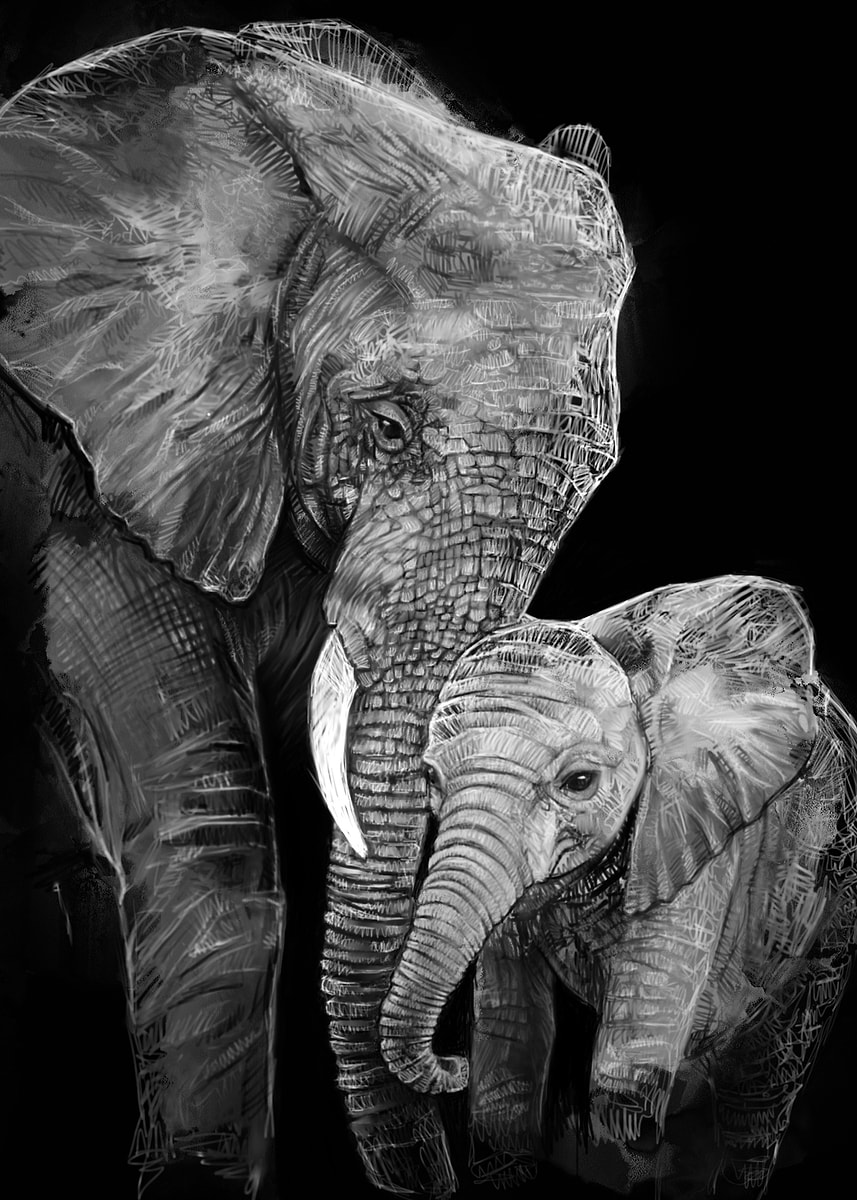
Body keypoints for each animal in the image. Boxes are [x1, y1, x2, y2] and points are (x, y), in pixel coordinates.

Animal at [381, 576, 857, 1195]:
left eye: (580, 781)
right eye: (431, 778)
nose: (448, 1064)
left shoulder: (694, 827)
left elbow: (625, 1083)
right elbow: (508, 1062)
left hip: (824, 912)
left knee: (759, 1091)